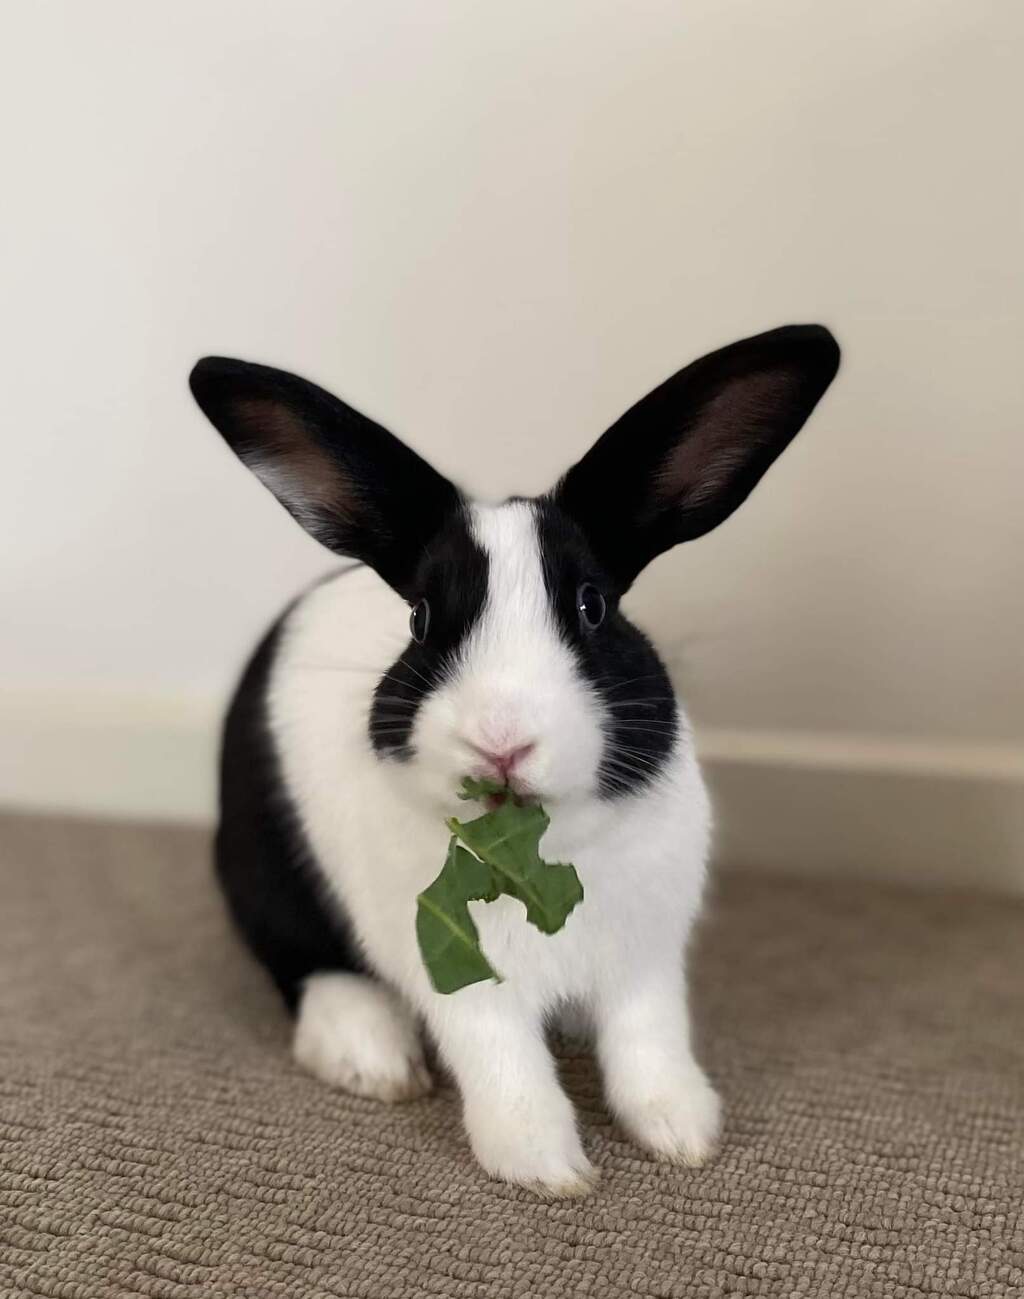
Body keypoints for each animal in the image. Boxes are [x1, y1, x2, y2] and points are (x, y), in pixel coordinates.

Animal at [189, 323, 840, 1197]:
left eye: (592, 606)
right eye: (423, 620)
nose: (501, 739)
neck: (539, 847)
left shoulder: (647, 957)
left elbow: (649, 1040)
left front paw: (684, 1130)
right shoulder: (463, 980)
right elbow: (504, 1060)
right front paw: (547, 1165)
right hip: (259, 869)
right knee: (301, 963)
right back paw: (370, 1053)